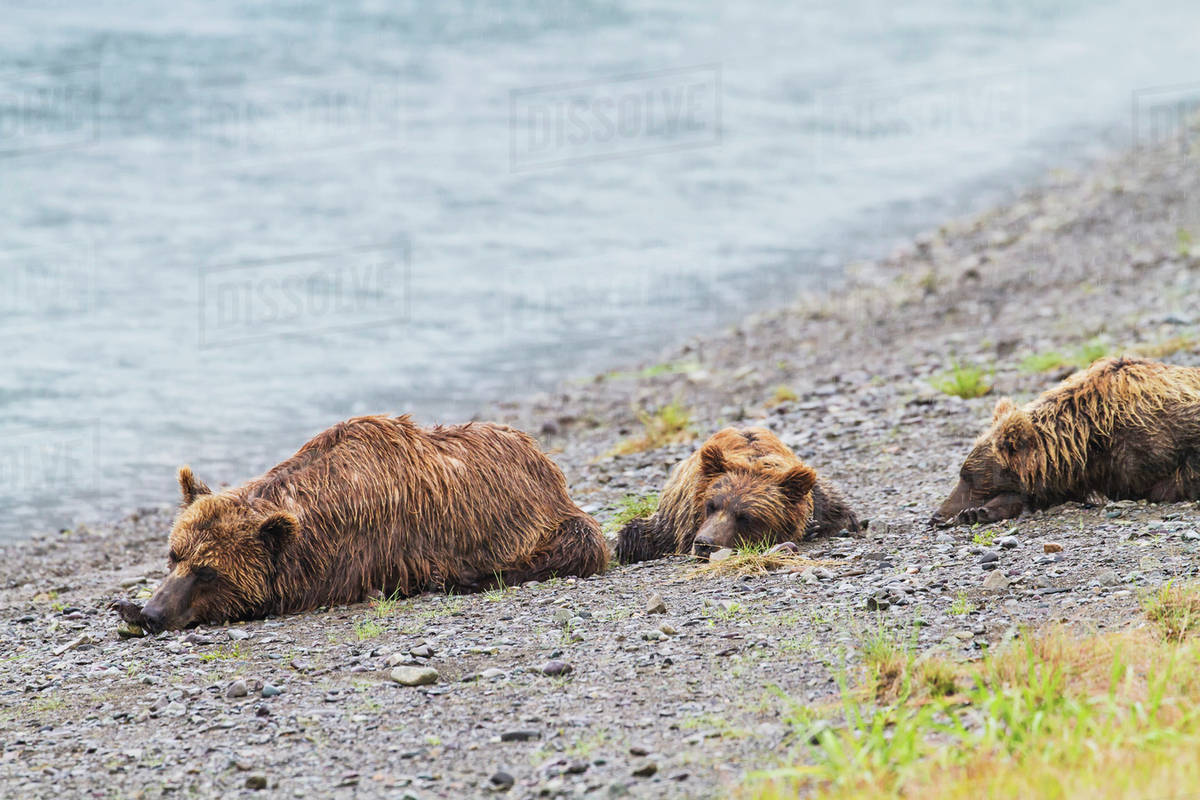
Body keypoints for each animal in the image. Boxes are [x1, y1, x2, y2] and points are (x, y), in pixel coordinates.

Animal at [114, 415, 608, 632]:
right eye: (174, 555)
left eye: (209, 572)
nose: (155, 613)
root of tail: (541, 455)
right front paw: (127, 605)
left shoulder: (358, 549)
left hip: (540, 522)